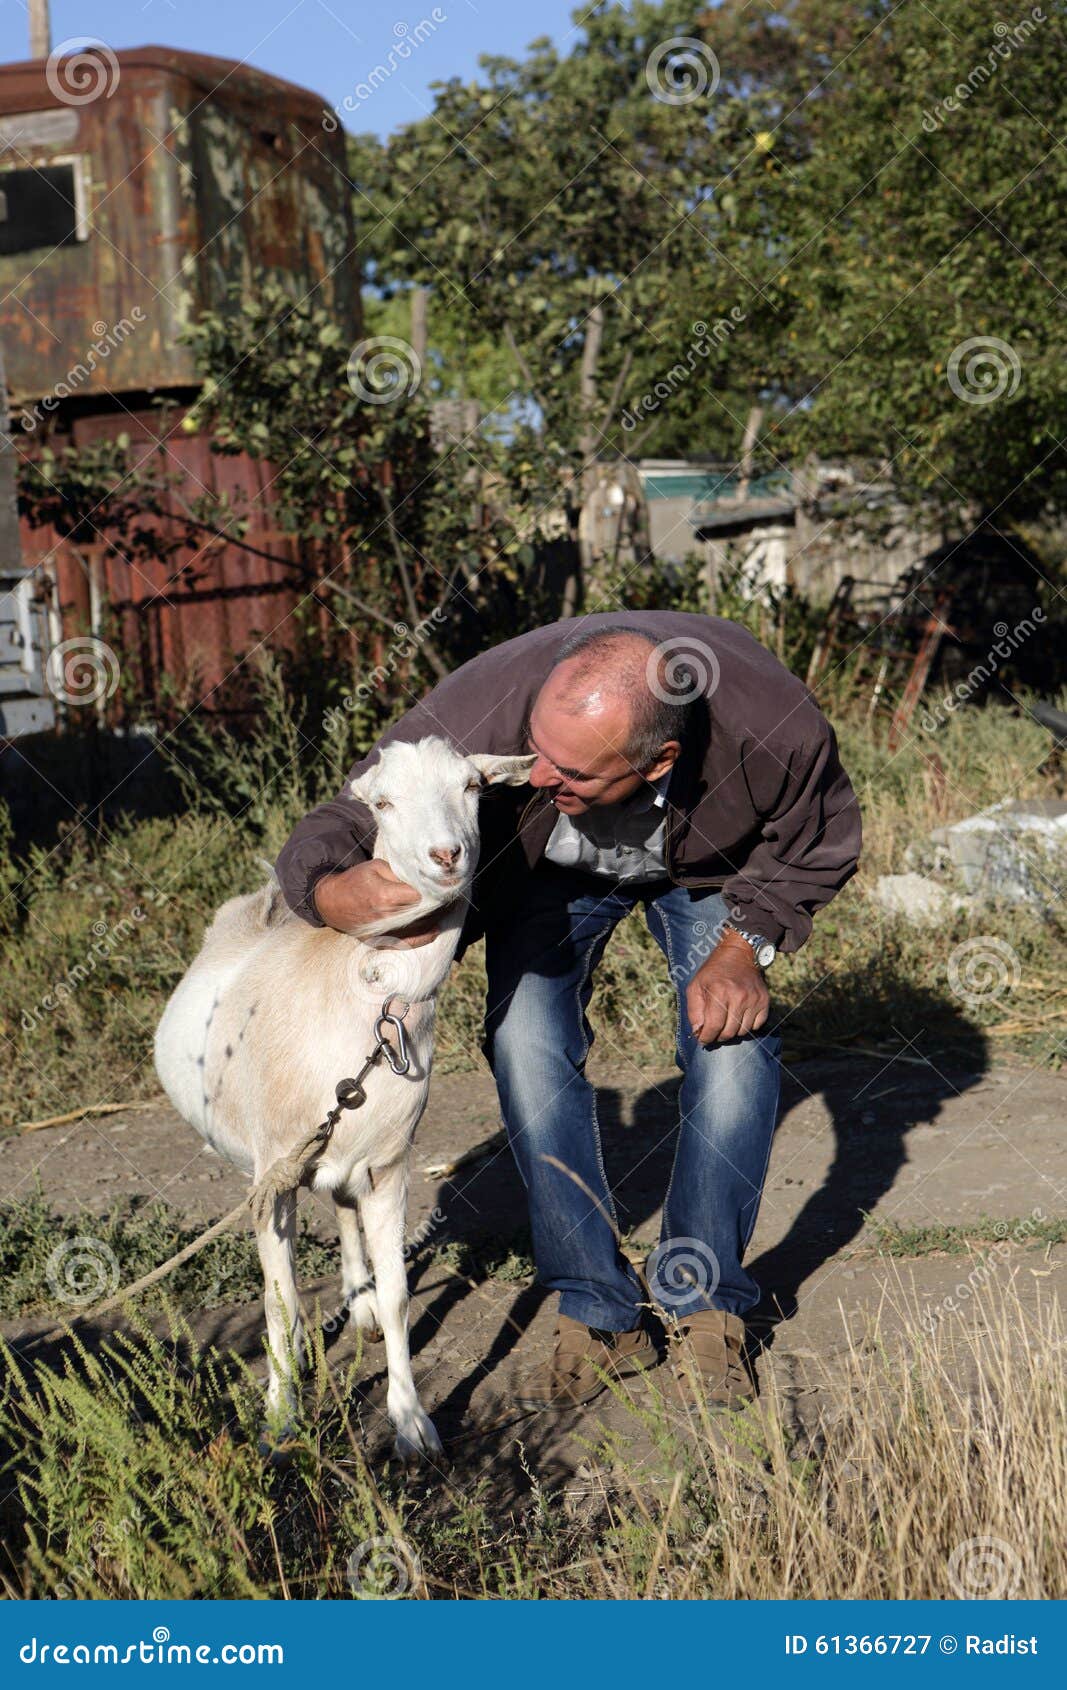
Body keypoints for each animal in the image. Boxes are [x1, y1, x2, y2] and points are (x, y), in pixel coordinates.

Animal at [154, 738, 534, 1460]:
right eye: (382, 802)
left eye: (473, 787)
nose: (446, 856)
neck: (367, 995)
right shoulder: (274, 1173)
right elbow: (278, 1301)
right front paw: (281, 1418)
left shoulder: (388, 1164)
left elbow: (398, 1294)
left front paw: (412, 1422)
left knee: (341, 1207)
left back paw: (357, 1304)